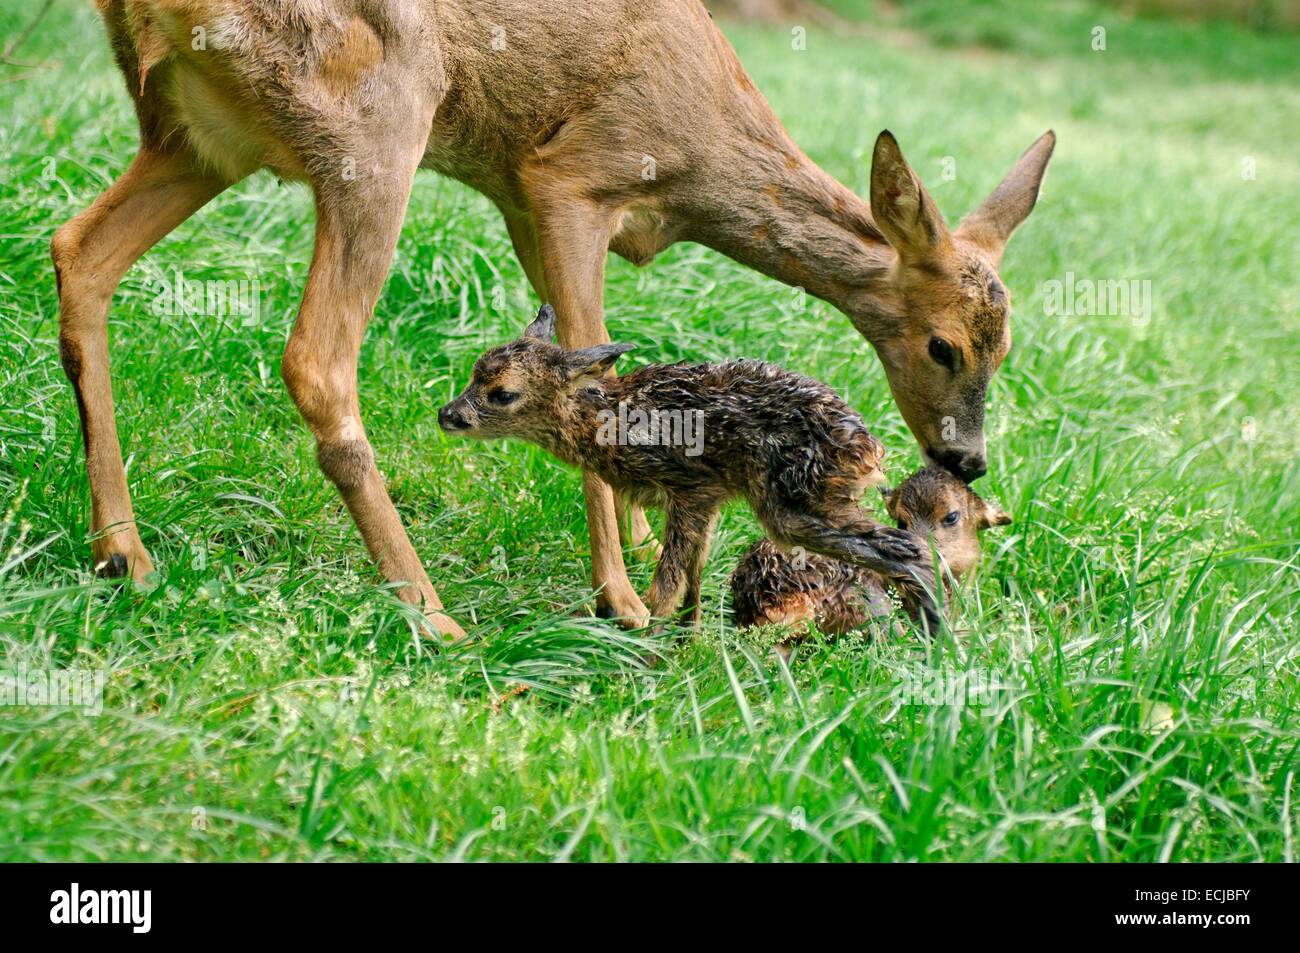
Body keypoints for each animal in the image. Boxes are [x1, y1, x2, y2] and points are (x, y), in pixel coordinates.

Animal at [55, 0, 1054, 640]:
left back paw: (124, 554)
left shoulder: (515, 199)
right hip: (374, 118)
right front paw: (624, 595)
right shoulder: (568, 178)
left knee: (78, 252)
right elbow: (592, 364)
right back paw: (432, 612)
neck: (699, 160)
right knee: (316, 358)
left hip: (197, 134)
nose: (968, 460)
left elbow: (581, 359)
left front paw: (648, 541)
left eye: (1006, 344)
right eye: (944, 344)